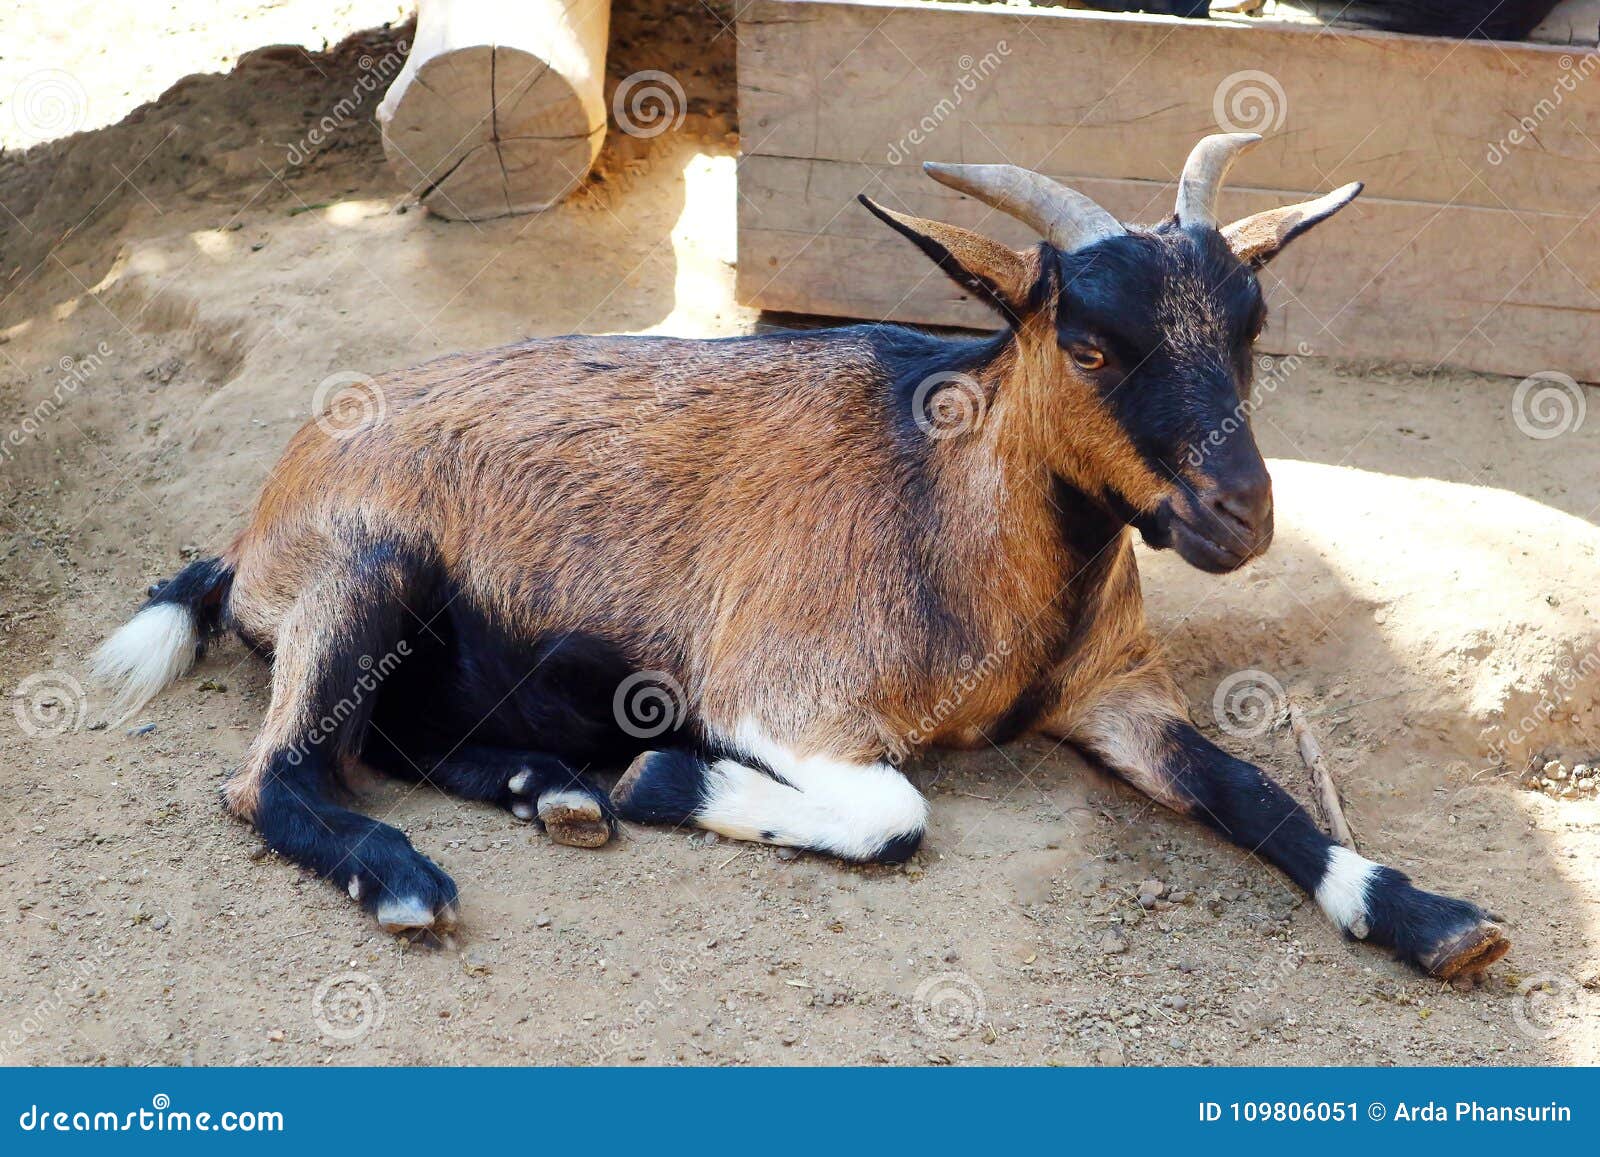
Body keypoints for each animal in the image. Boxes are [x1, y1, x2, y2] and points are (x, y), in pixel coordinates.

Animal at [93, 133, 1508, 981]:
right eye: (1091, 342)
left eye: (1250, 327)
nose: (1240, 514)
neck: (962, 523)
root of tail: (253, 528)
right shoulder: (780, 695)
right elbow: (892, 815)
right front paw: (668, 777)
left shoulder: (1118, 691)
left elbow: (1254, 787)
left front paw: (1433, 919)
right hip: (363, 572)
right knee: (275, 775)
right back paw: (410, 873)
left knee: (395, 739)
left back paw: (551, 793)